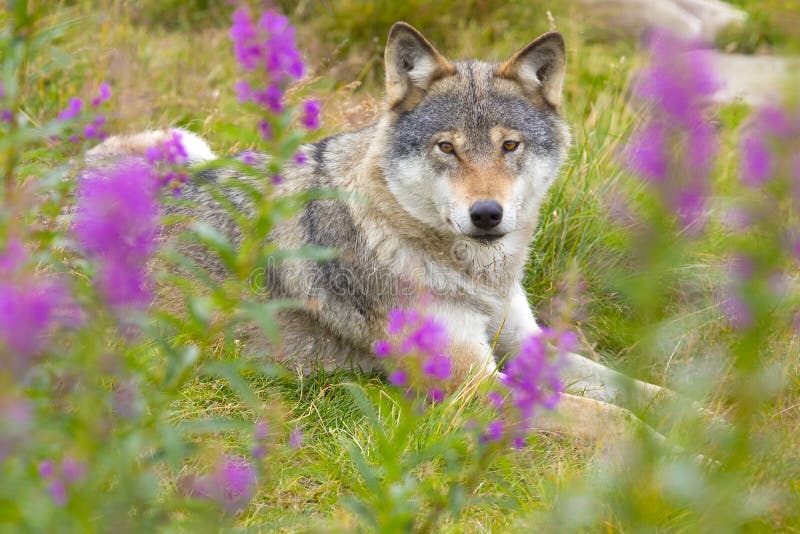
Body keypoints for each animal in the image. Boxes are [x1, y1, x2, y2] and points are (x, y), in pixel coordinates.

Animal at [90, 23, 683, 443]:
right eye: (447, 147)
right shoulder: (472, 387)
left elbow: (643, 390)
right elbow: (617, 420)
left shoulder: (526, 346)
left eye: (510, 145)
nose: (486, 214)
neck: (477, 277)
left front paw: (699, 419)